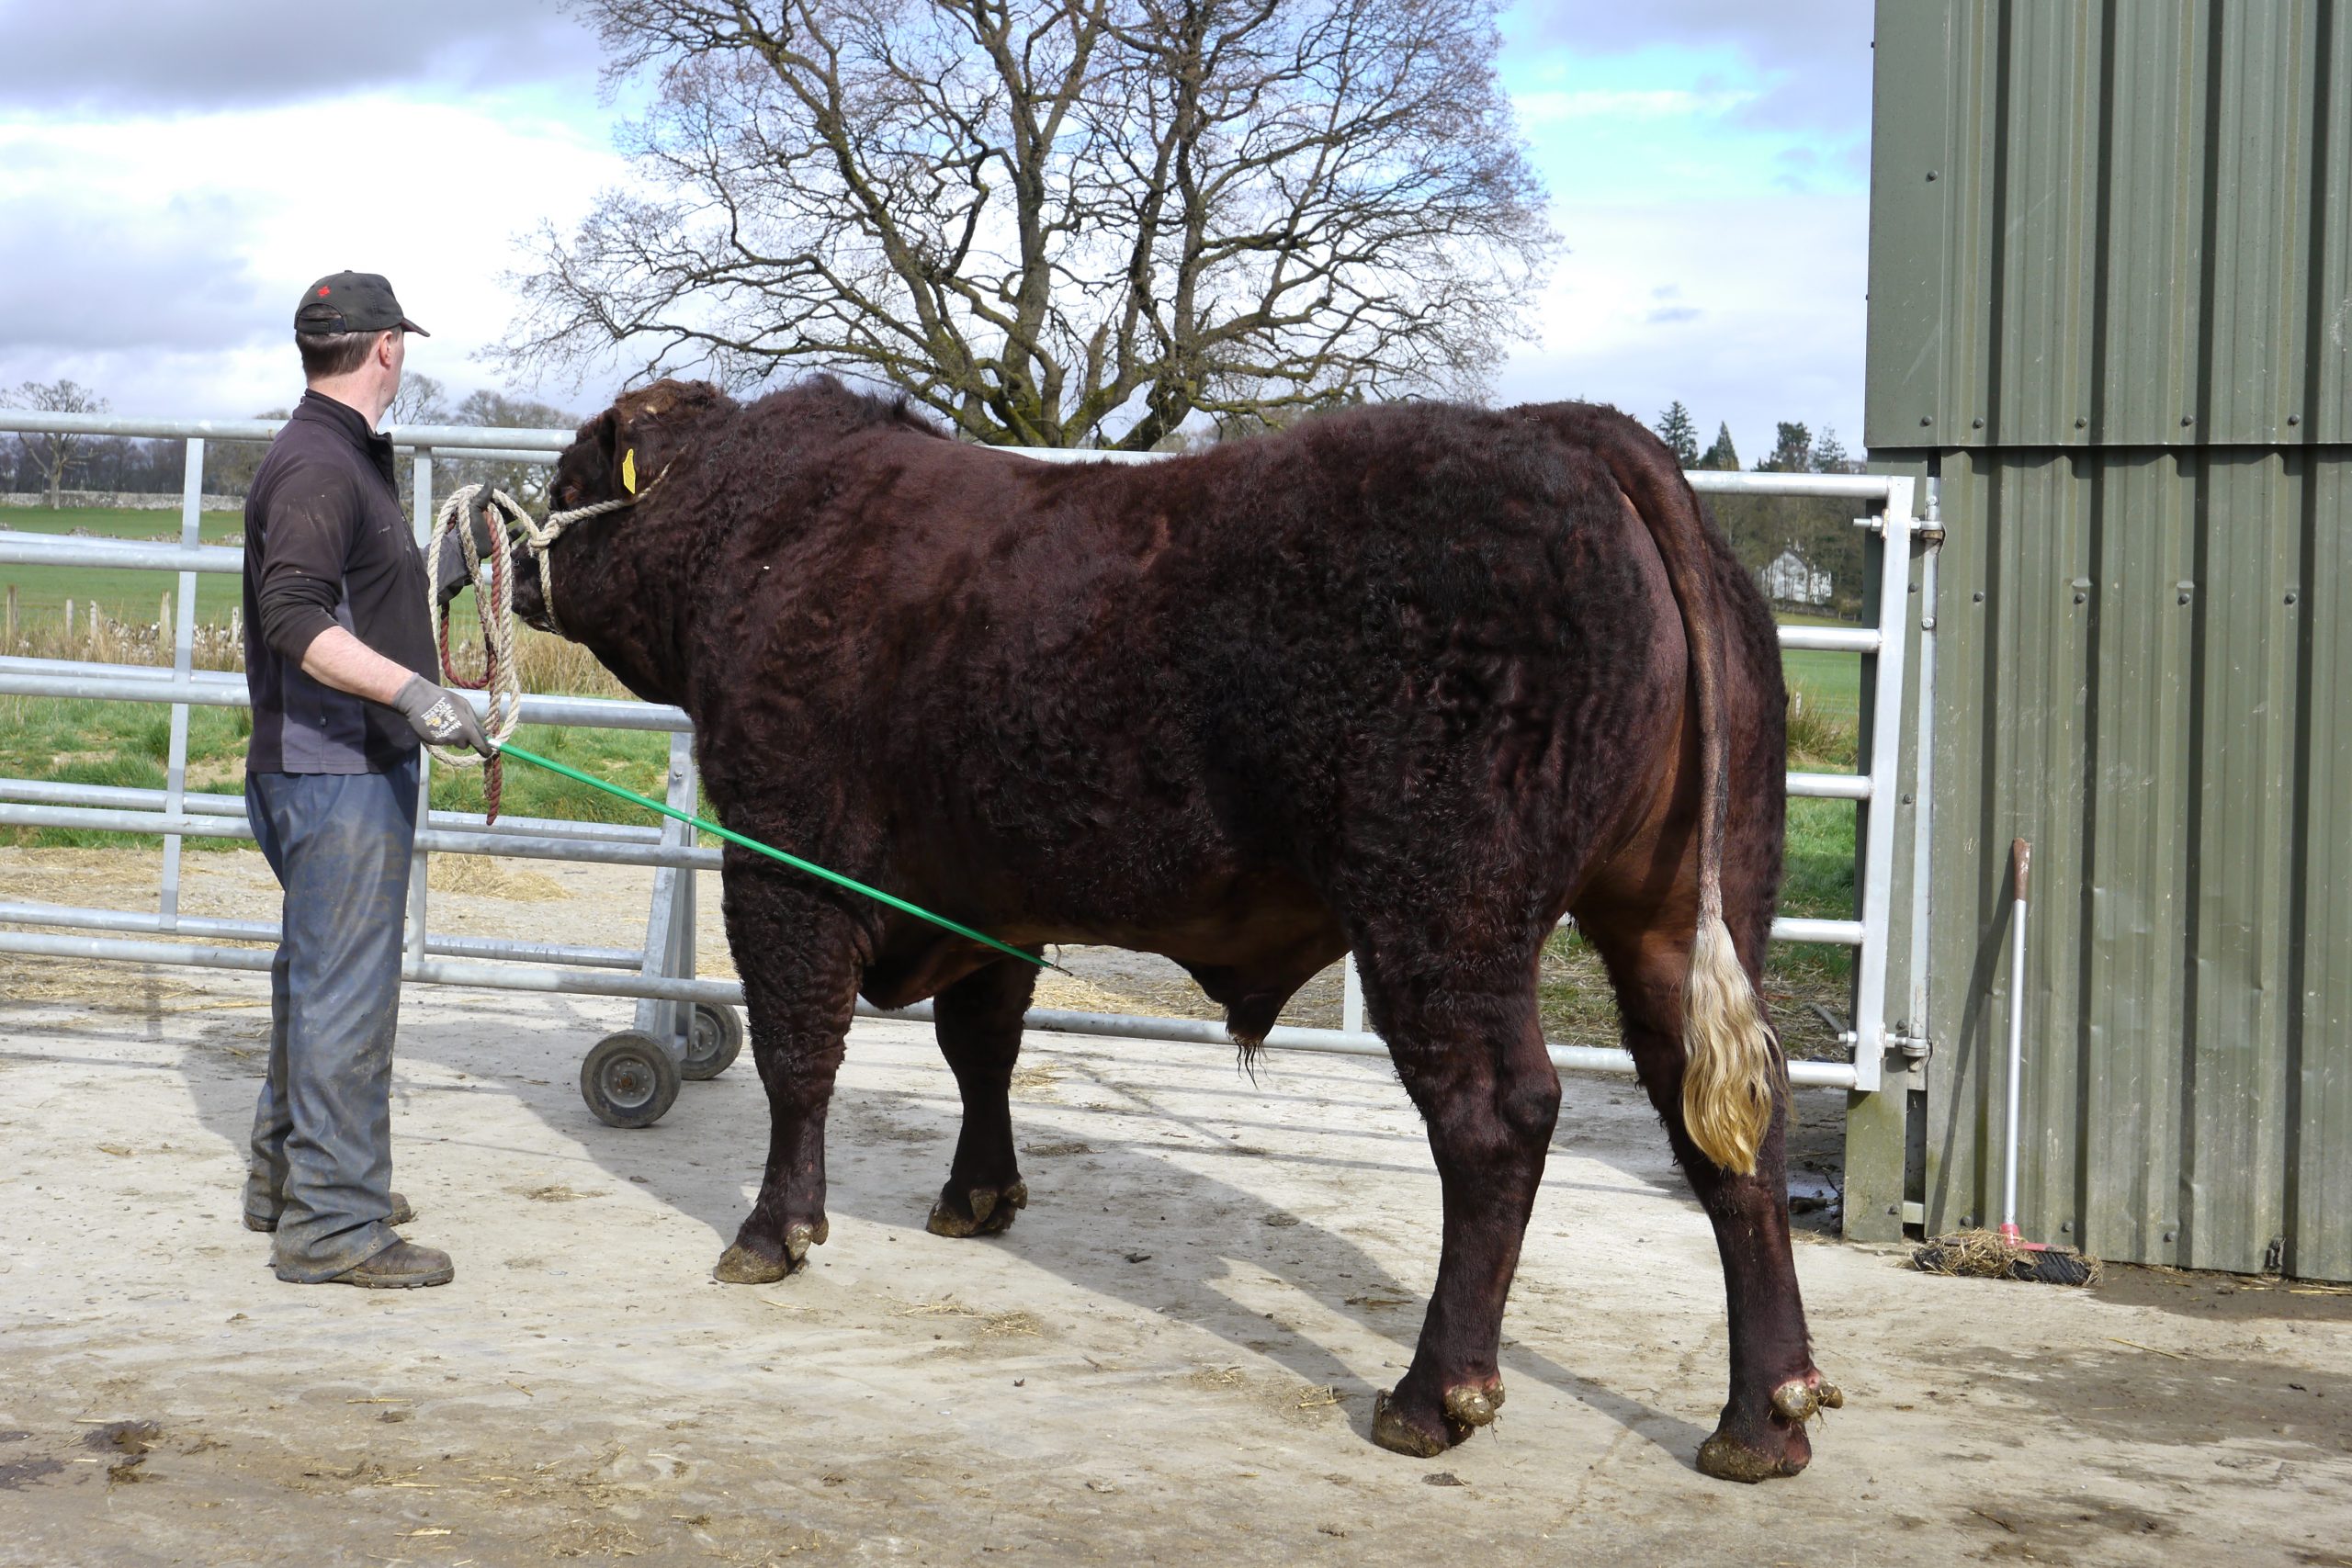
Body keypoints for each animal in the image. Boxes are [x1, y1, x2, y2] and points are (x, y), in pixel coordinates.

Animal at [503, 376, 1837, 1480]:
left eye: (568, 479)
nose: (505, 554)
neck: (764, 532)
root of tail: (1569, 431)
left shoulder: (786, 857)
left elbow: (796, 1050)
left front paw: (773, 1230)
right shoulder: (985, 895)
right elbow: (980, 1044)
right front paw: (977, 1193)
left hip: (1442, 910)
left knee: (1496, 1119)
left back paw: (1432, 1392)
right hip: (1682, 911)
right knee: (1733, 1115)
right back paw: (1762, 1414)